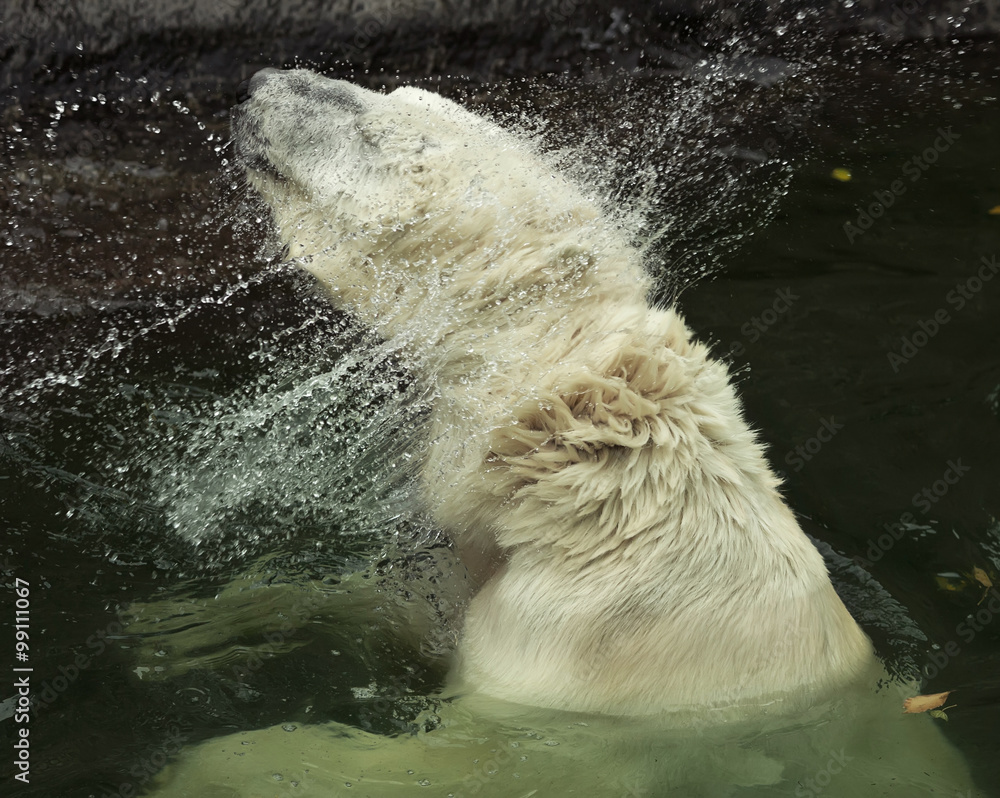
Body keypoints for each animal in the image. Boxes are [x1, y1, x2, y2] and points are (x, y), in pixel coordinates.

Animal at [144, 69, 980, 796]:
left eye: (388, 132)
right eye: (395, 92)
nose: (260, 82)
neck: (597, 492)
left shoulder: (574, 674)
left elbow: (449, 771)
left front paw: (200, 766)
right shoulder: (485, 585)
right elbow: (394, 600)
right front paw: (180, 622)